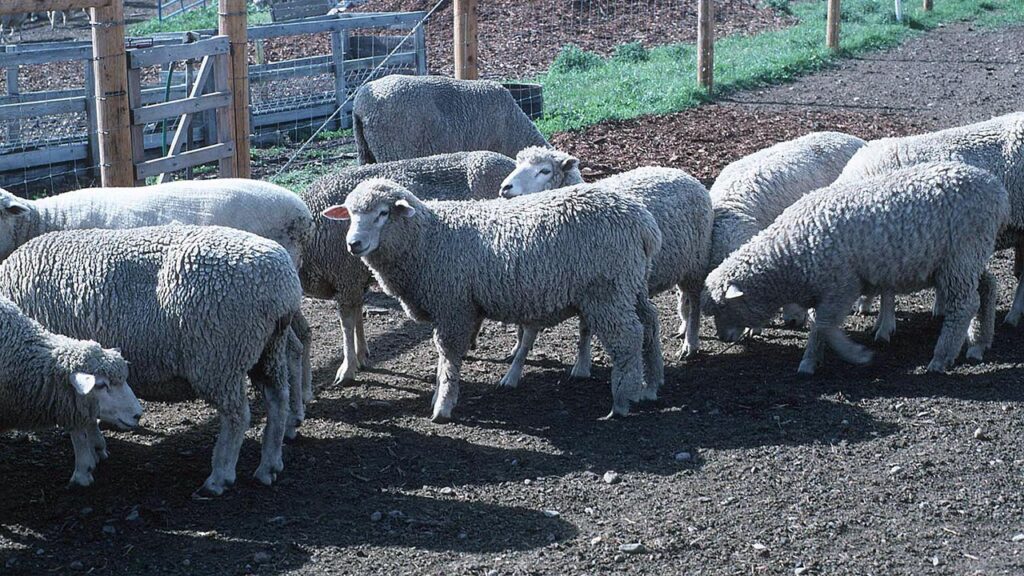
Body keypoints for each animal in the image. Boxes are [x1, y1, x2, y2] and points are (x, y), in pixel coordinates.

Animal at [0, 180, 314, 439]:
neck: (41, 220)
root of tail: (303, 215)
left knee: (289, 354)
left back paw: (292, 418)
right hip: (285, 306)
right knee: (300, 341)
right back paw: (300, 406)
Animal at [300, 151, 516, 384]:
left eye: (382, 214)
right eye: (348, 213)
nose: (353, 244)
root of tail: (510, 162)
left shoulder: (345, 276)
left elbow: (346, 325)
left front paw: (347, 369)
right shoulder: (353, 279)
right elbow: (357, 316)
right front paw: (361, 355)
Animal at [322, 179, 664, 422]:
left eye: (382, 213)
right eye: (349, 214)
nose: (354, 244)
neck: (429, 237)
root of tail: (643, 222)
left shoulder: (453, 304)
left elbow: (447, 354)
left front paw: (443, 404)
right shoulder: (451, 306)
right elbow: (443, 357)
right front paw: (439, 392)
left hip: (607, 290)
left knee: (628, 338)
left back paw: (622, 400)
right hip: (631, 284)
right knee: (650, 322)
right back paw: (650, 386)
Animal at [497, 146, 712, 374]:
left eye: (544, 171)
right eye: (517, 165)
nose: (505, 187)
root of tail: (683, 173)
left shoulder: (591, 281)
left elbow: (584, 328)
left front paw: (581, 366)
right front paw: (516, 348)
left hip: (696, 263)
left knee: (695, 302)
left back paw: (690, 343)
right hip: (680, 264)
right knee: (685, 296)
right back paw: (683, 328)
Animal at [704, 162, 1009, 374]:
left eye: (725, 307)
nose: (722, 338)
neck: (788, 252)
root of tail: (996, 189)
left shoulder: (841, 286)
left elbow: (825, 326)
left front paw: (853, 355)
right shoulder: (824, 291)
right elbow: (818, 325)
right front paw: (811, 359)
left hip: (962, 256)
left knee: (964, 305)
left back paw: (941, 357)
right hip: (964, 259)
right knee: (988, 287)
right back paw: (980, 341)